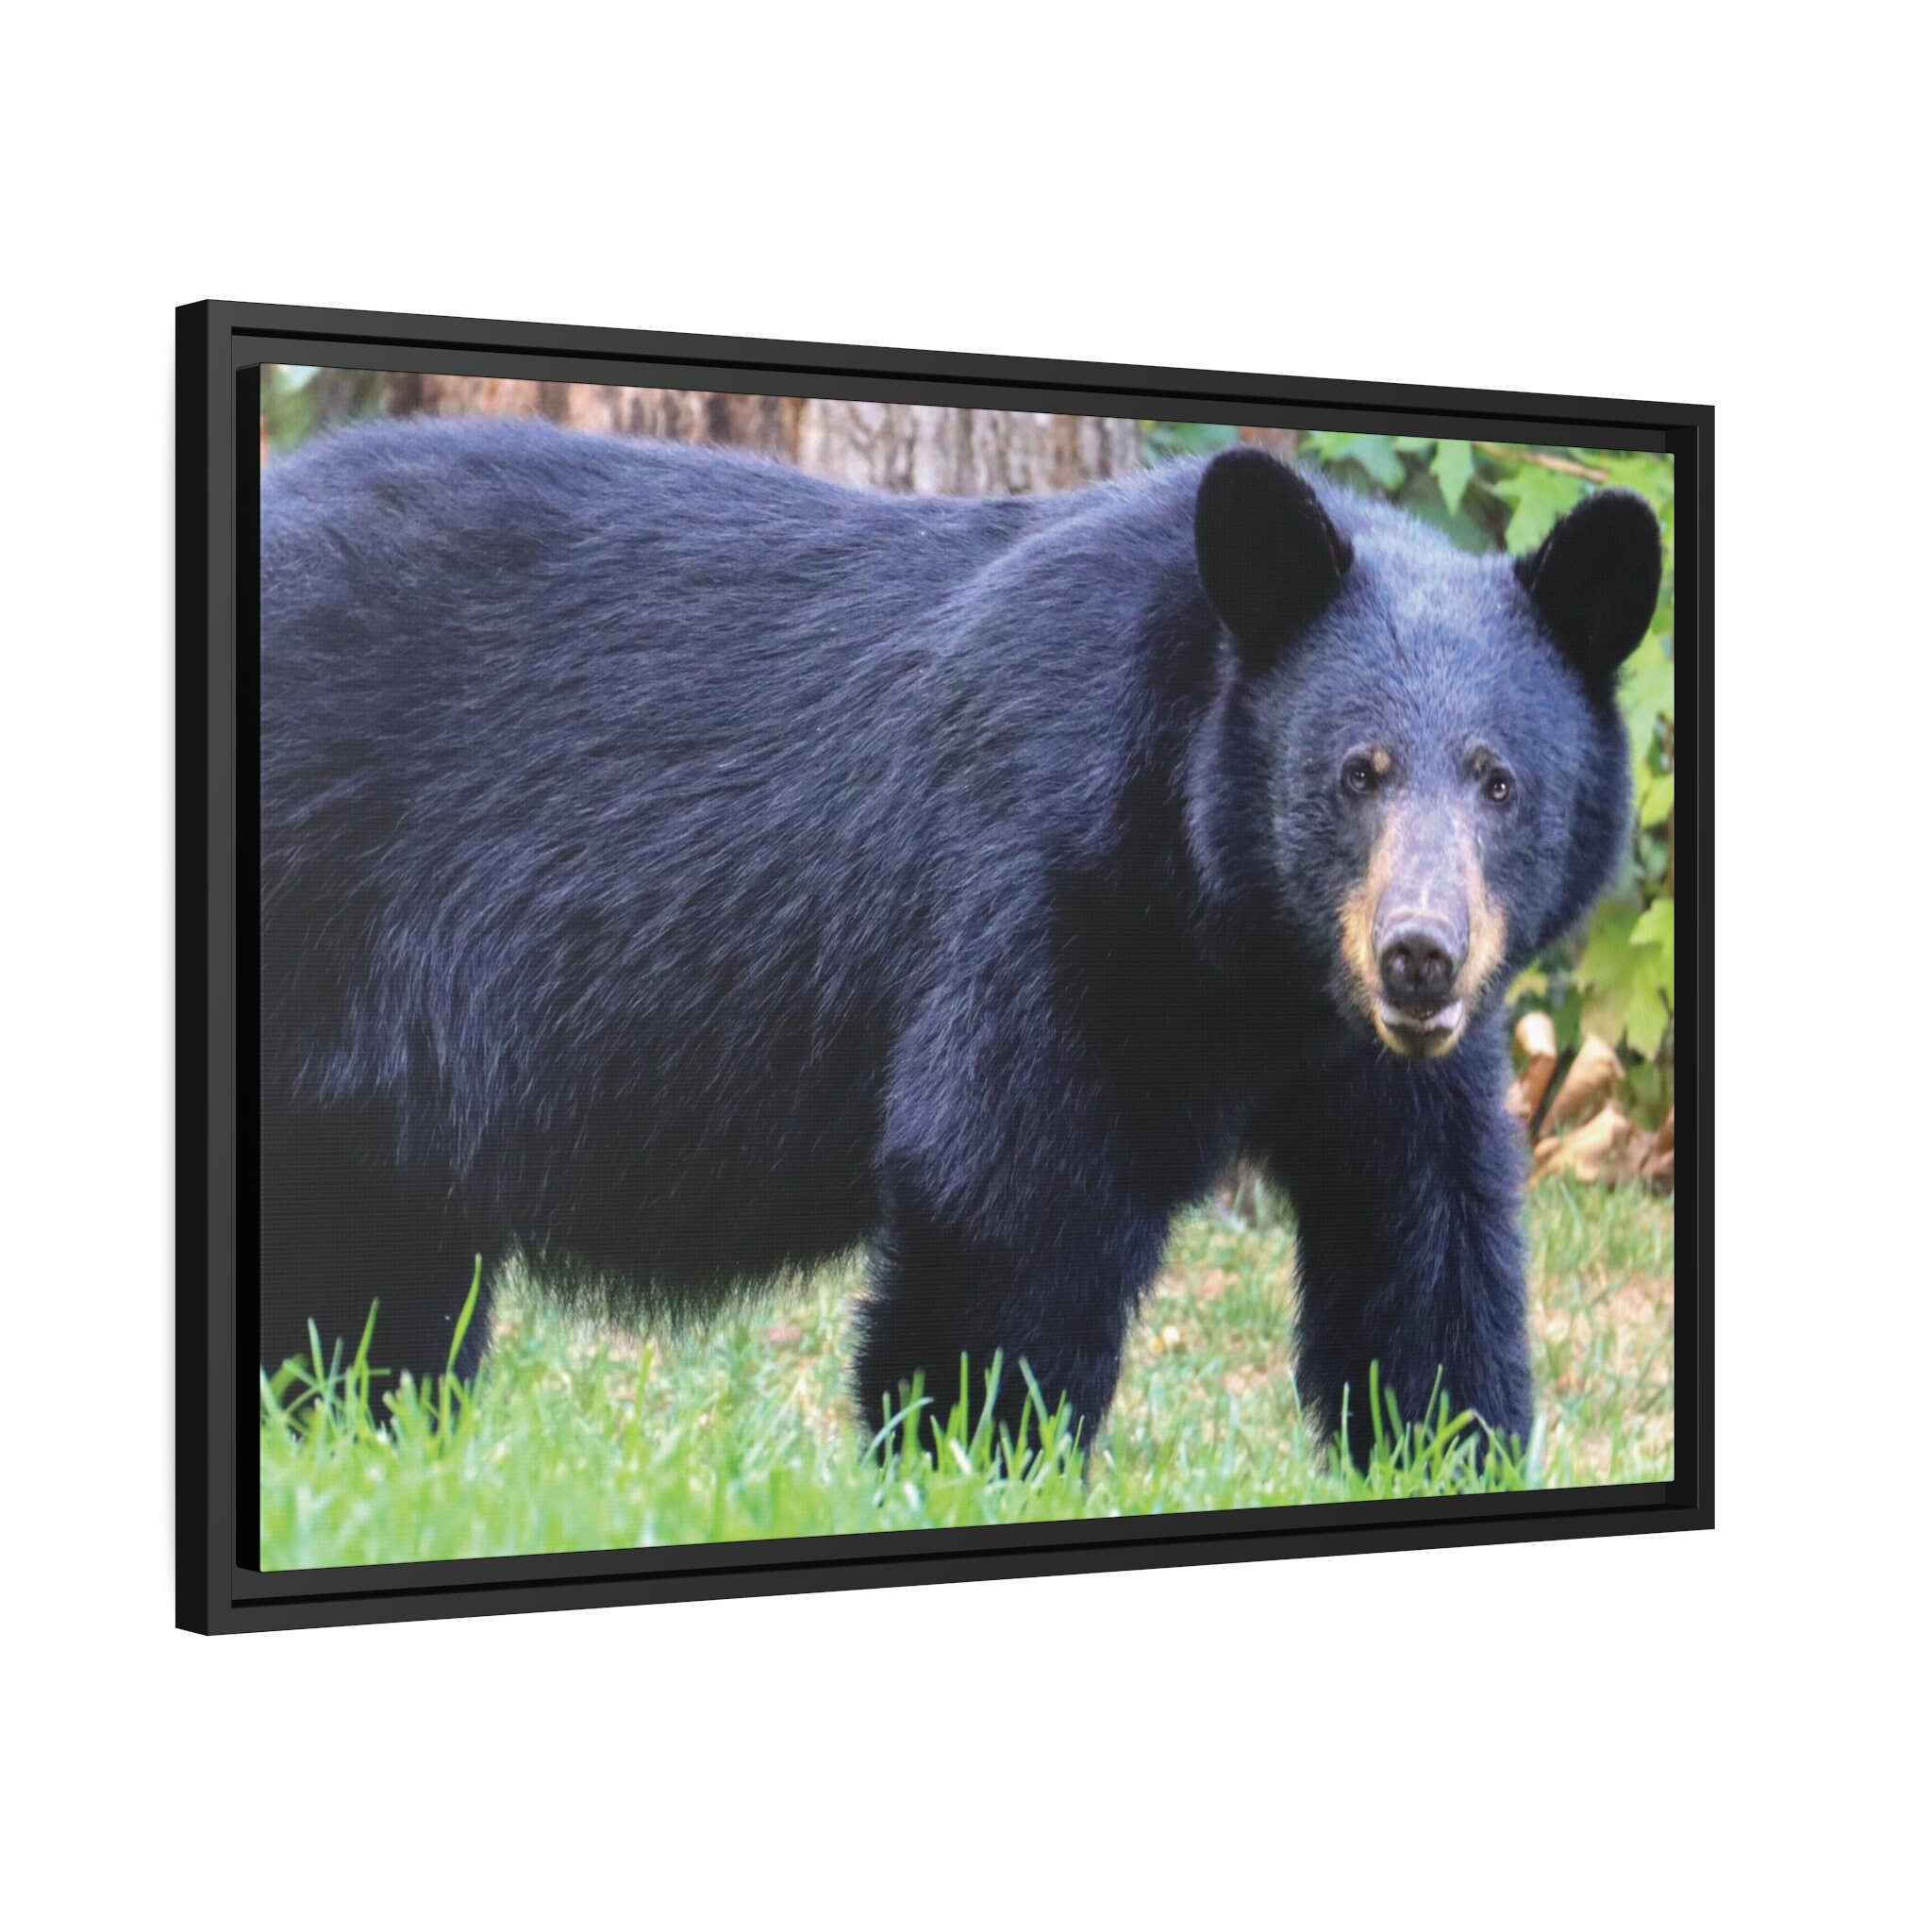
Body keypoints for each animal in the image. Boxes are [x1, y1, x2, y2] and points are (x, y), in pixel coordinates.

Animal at [259, 418, 1659, 1471]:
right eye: (1354, 773)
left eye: (1499, 782)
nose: (1418, 954)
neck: (1248, 942)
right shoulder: (1049, 879)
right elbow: (1008, 1182)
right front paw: (976, 1453)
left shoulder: (1367, 1053)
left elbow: (1425, 1230)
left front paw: (1444, 1444)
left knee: (362, 1254)